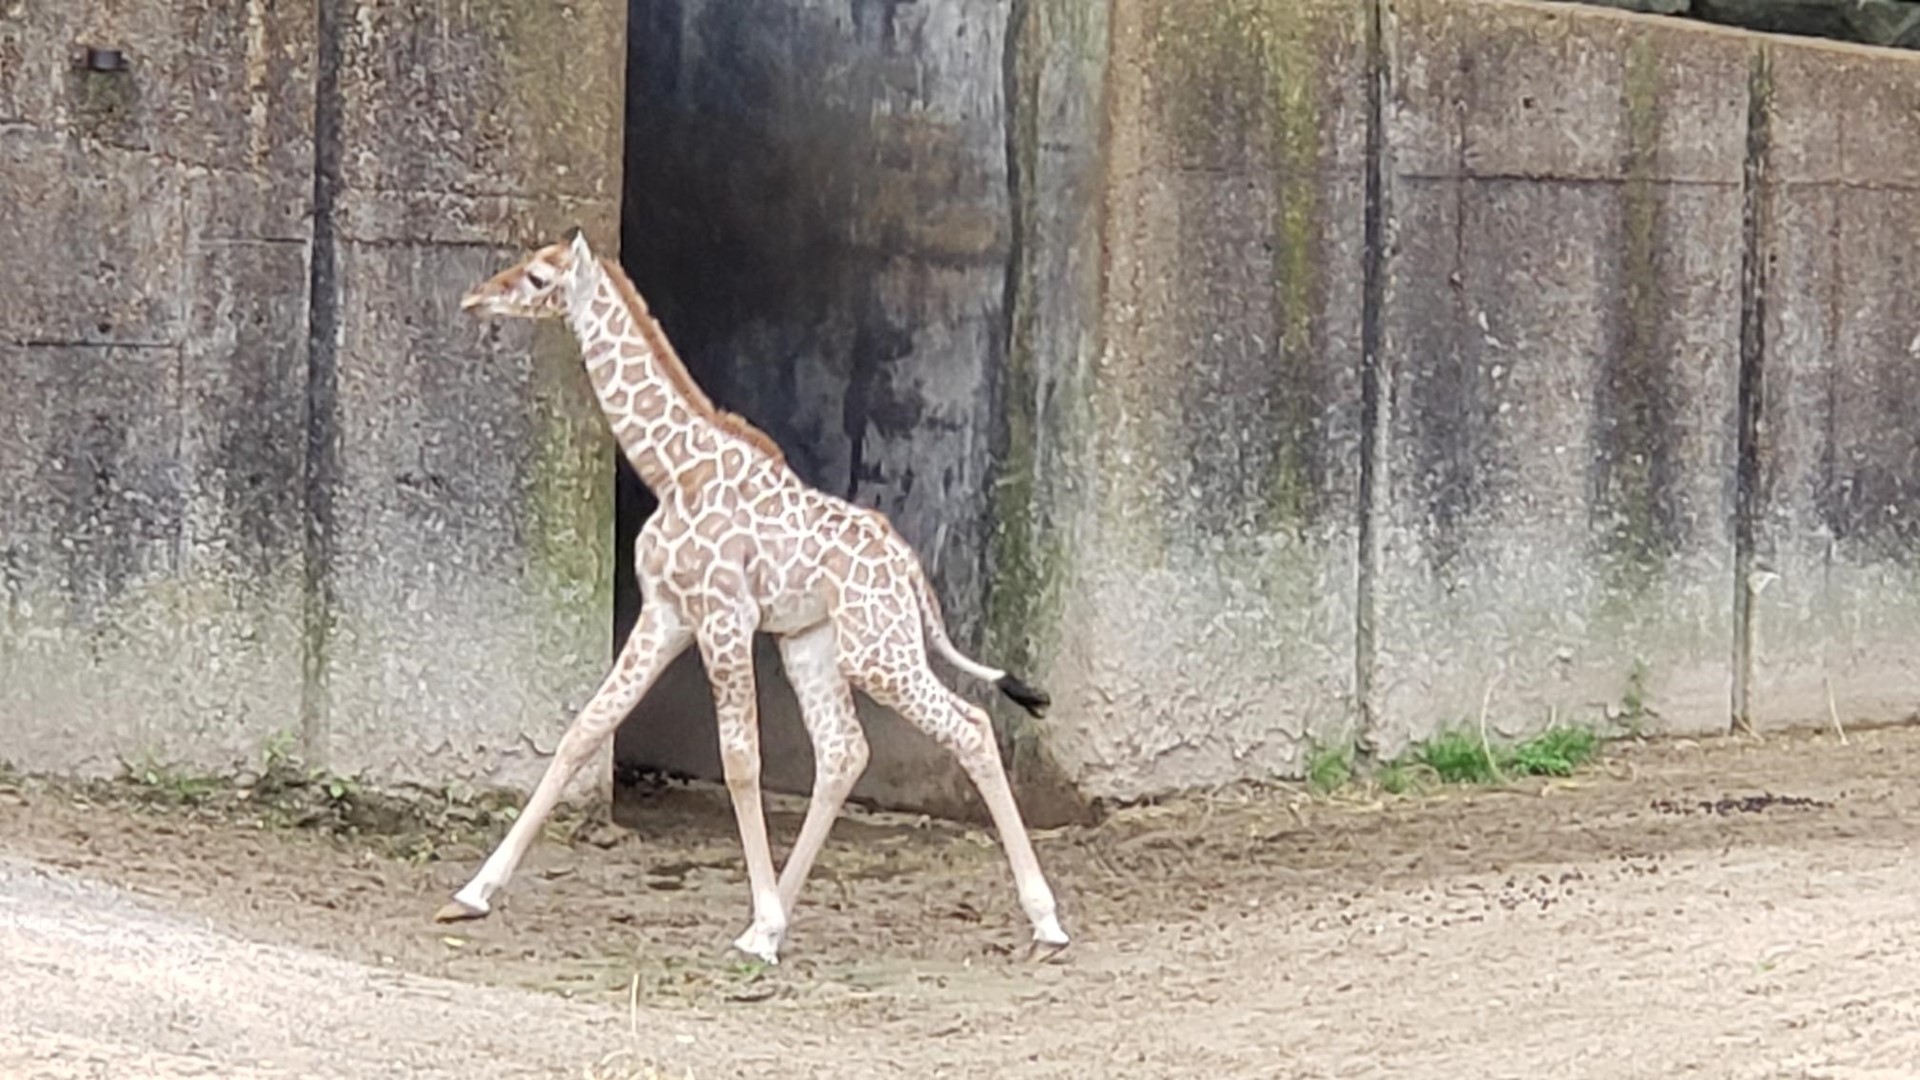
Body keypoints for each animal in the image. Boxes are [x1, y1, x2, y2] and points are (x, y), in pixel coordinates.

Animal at [436, 229, 1069, 964]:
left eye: (539, 278)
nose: (475, 299)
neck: (675, 471)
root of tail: (908, 567)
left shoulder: (723, 618)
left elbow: (740, 761)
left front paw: (764, 919)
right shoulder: (666, 614)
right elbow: (583, 730)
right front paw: (472, 893)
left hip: (877, 652)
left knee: (967, 727)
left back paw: (1044, 920)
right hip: (812, 644)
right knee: (844, 750)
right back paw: (774, 919)